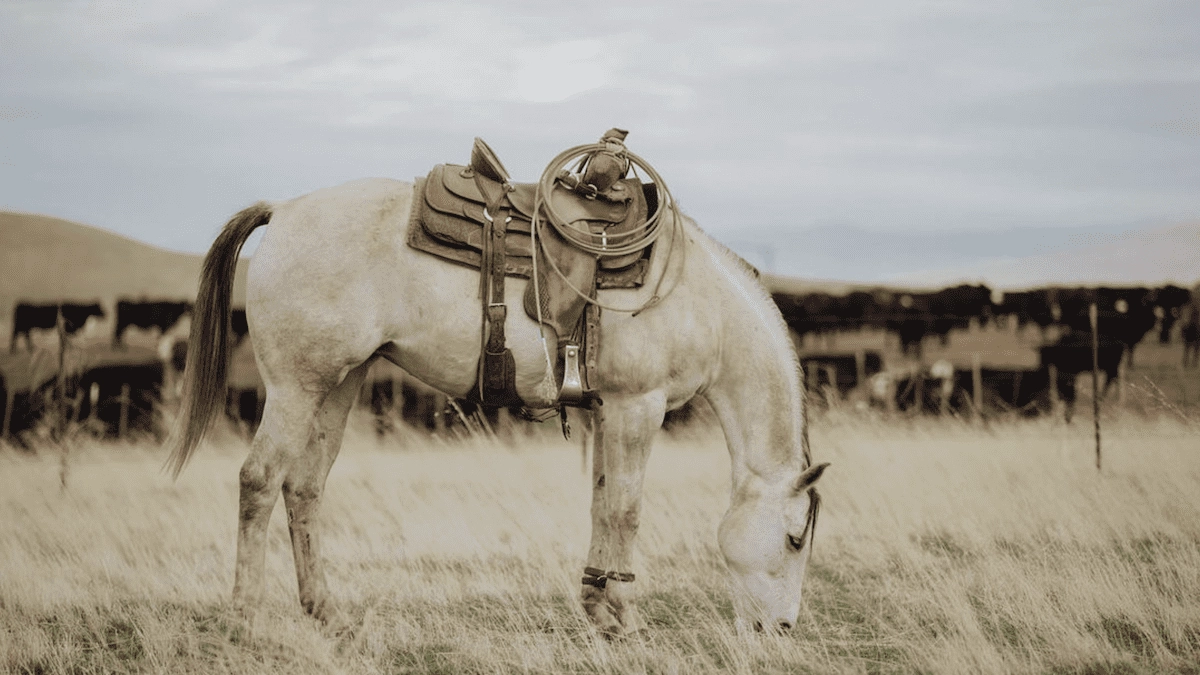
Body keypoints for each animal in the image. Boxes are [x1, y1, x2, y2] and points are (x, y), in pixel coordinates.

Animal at [169, 176, 829, 636]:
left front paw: (597, 609)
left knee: (303, 488)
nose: (781, 629)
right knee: (258, 480)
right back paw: (244, 618)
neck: (696, 299)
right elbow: (626, 512)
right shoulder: (638, 407)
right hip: (296, 388)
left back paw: (327, 612)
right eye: (795, 538)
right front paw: (626, 616)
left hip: (338, 384)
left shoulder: (605, 411)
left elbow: (600, 504)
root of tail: (283, 209)